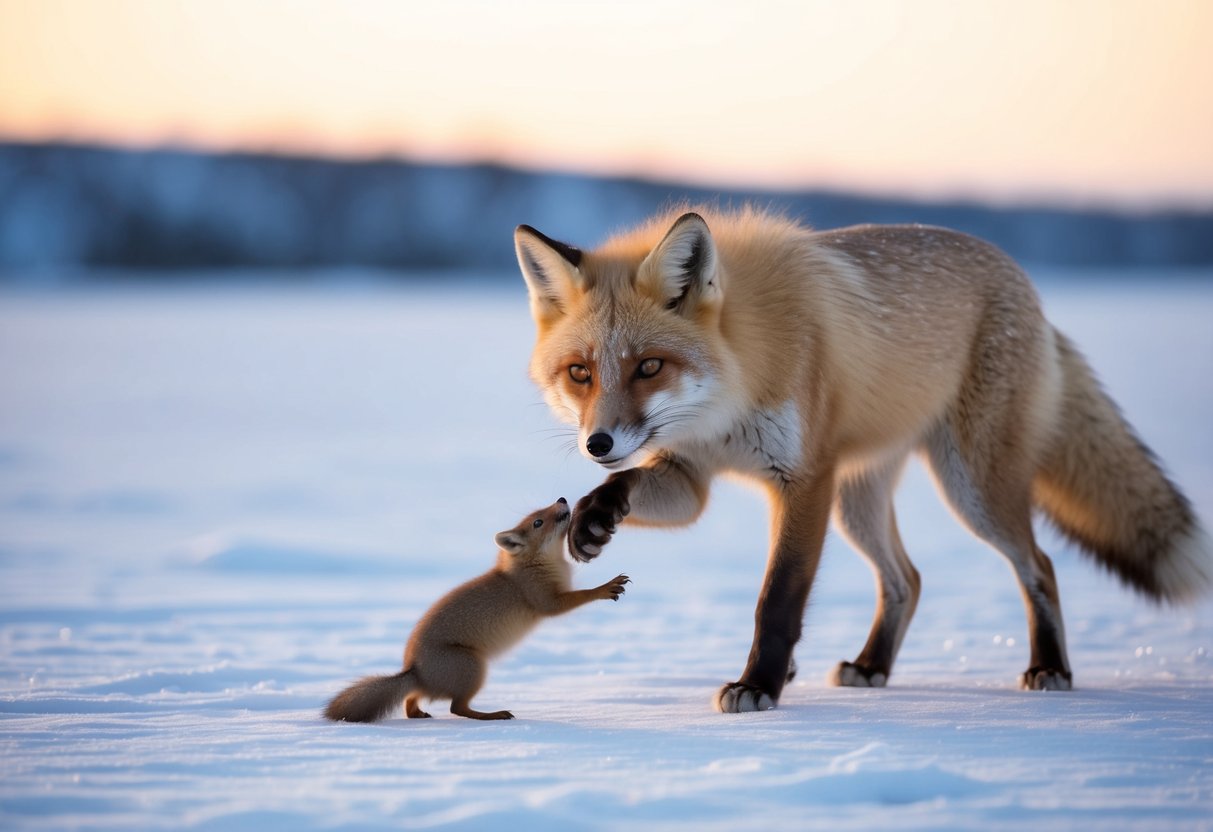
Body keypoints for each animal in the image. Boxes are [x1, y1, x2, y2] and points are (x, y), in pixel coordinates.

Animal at [324, 498, 630, 722]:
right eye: (537, 522)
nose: (562, 499)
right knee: (456, 708)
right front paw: (607, 587)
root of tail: (414, 669)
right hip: (475, 668)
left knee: (411, 700)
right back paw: (494, 715)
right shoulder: (549, 602)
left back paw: (419, 714)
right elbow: (584, 594)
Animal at [513, 206, 1212, 713]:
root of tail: (1022, 280)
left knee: (1038, 565)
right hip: (859, 500)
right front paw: (593, 518)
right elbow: (631, 485)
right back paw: (874, 665)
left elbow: (778, 599)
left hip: (971, 489)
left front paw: (760, 685)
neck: (727, 404)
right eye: (581, 373)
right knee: (909, 578)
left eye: (649, 367)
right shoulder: (691, 473)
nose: (597, 443)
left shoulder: (804, 479)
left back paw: (1050, 667)